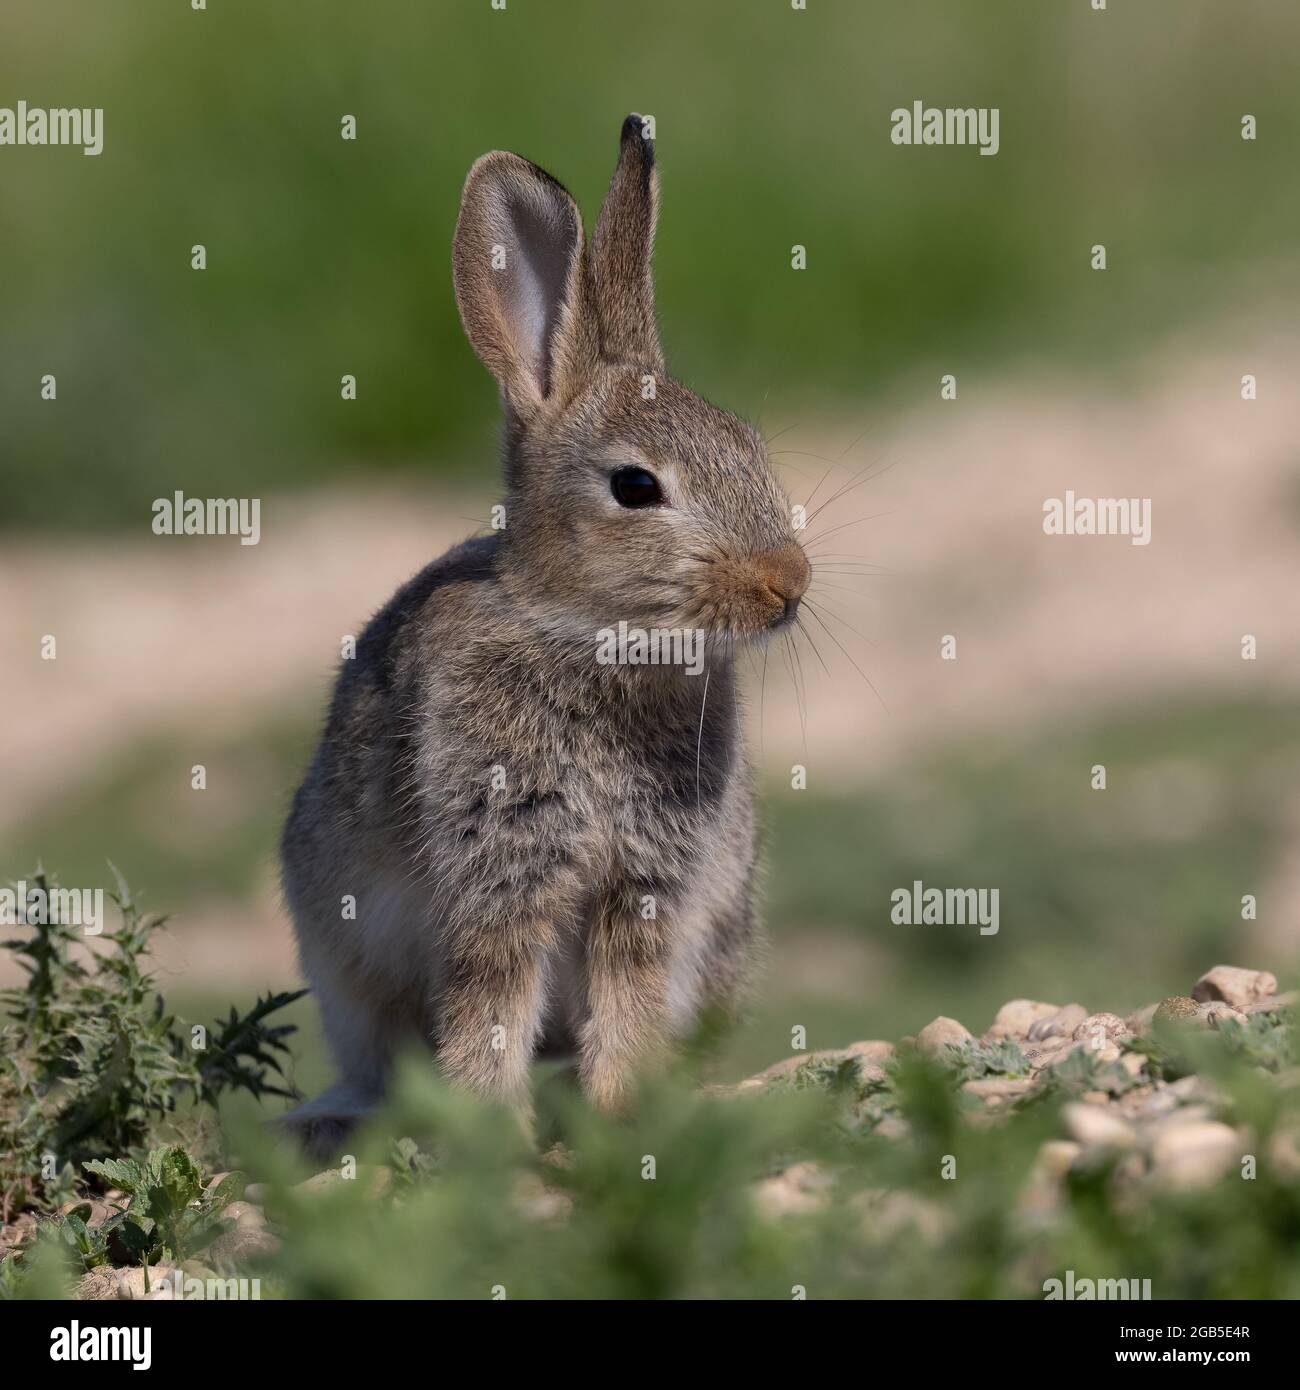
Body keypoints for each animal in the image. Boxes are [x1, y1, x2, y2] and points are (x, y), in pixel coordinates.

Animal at [279, 114, 810, 1153]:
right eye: (636, 487)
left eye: (751, 449)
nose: (788, 584)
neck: (583, 635)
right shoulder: (499, 867)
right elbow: (492, 998)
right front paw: (496, 1137)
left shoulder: (646, 882)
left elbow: (628, 992)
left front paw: (621, 1115)